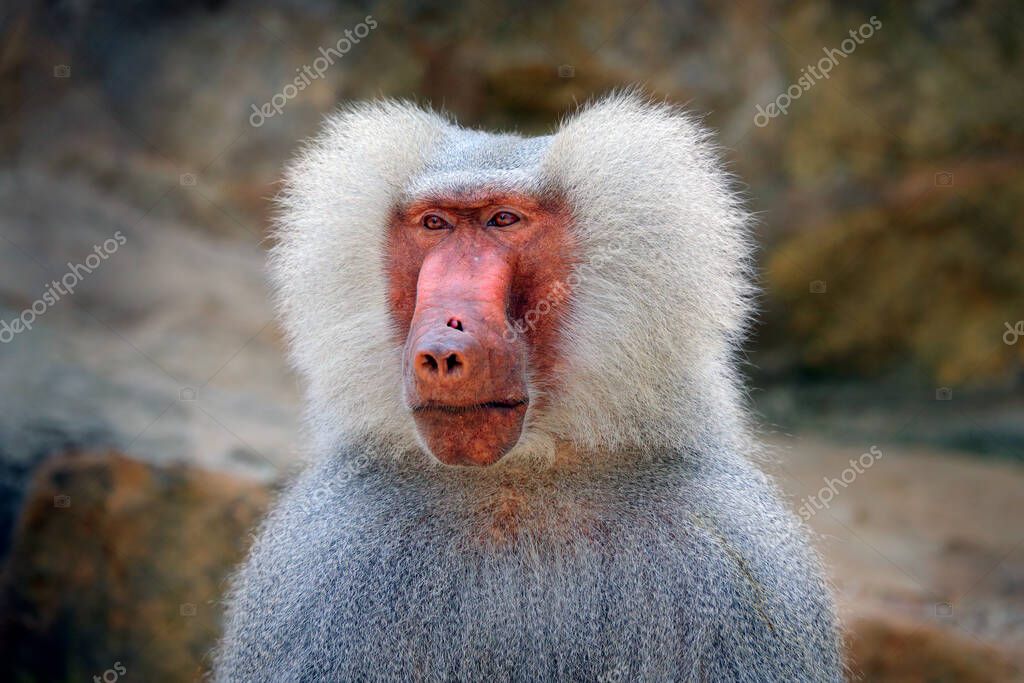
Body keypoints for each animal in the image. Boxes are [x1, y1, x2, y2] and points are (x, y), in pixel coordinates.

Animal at [214, 93, 843, 681]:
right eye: (435, 224)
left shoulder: (738, 562)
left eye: (503, 220)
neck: (519, 481)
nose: (442, 349)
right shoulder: (322, 564)